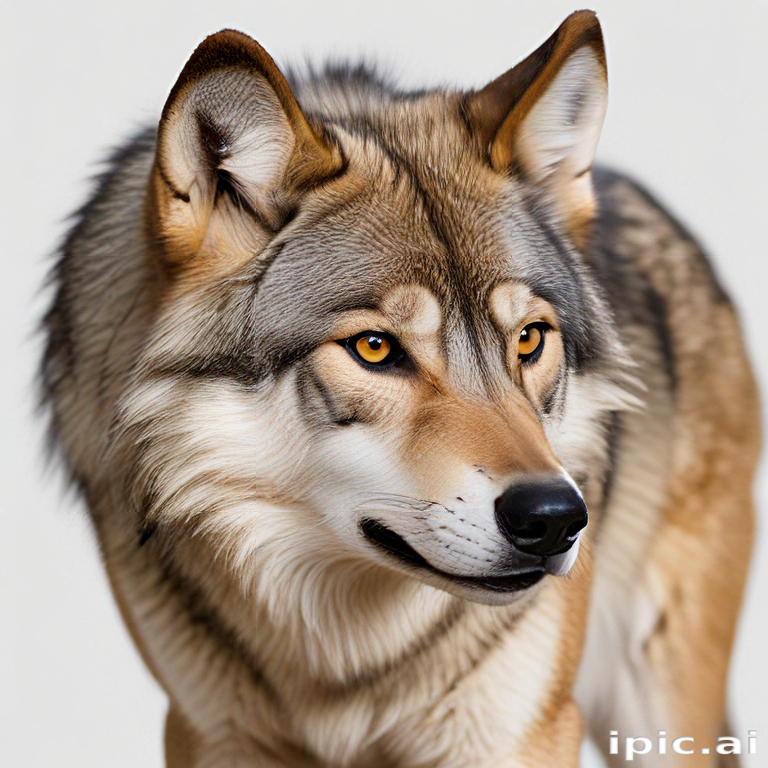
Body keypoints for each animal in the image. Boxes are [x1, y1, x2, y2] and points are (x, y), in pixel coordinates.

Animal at [41, 10, 759, 768]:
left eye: (529, 339)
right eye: (375, 348)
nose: (554, 519)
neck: (341, 664)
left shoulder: (520, 732)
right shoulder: (207, 731)